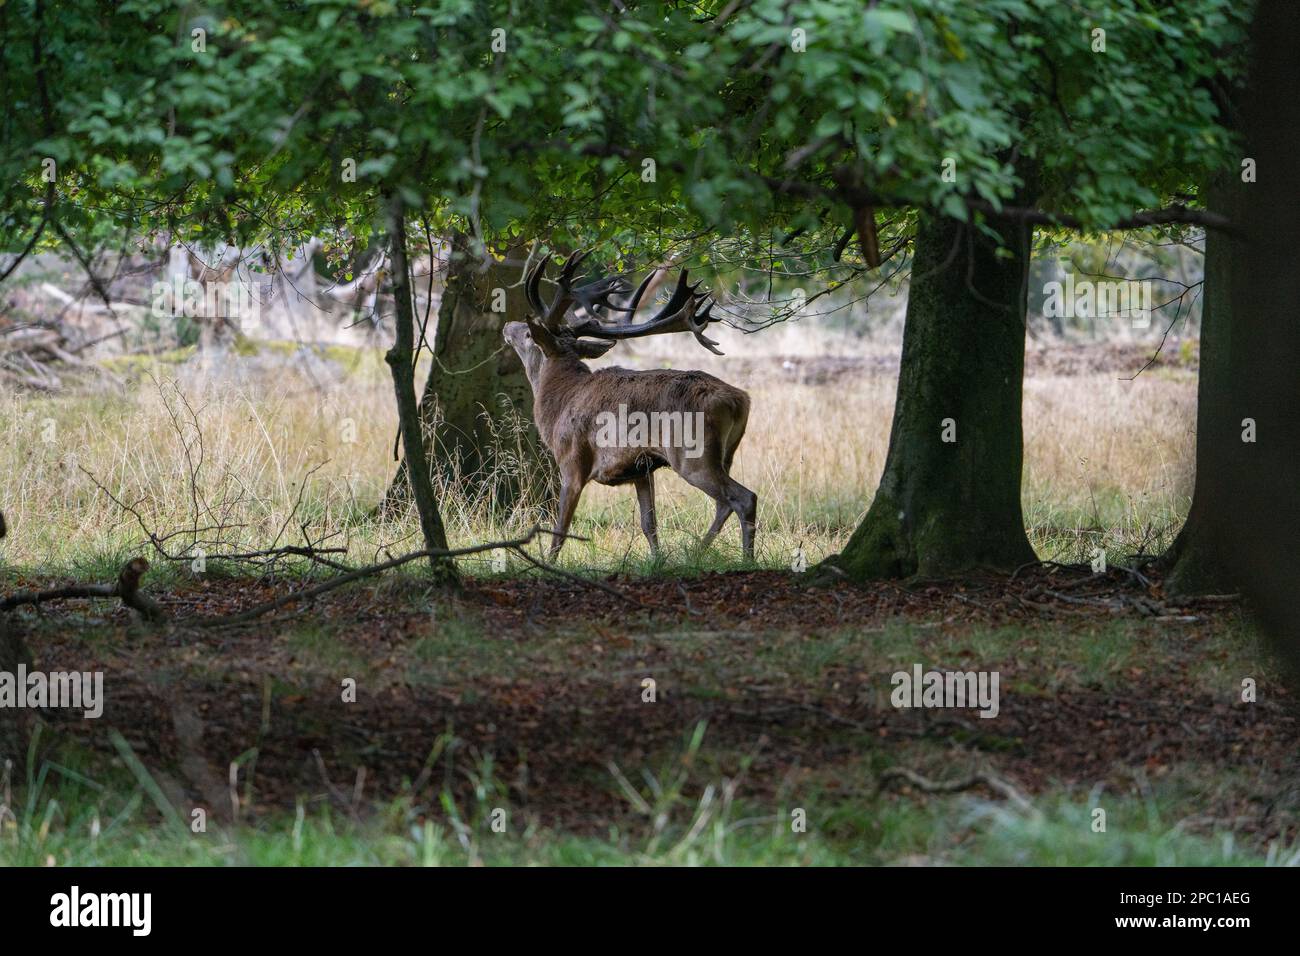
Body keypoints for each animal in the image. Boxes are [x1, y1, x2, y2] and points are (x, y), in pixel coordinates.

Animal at [502, 250, 756, 562]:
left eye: (528, 334)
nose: (508, 326)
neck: (559, 403)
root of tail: (739, 400)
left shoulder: (572, 461)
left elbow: (560, 529)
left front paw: (548, 563)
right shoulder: (642, 469)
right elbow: (649, 524)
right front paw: (657, 560)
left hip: (692, 454)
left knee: (743, 498)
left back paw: (745, 559)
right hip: (725, 454)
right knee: (724, 504)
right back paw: (696, 553)